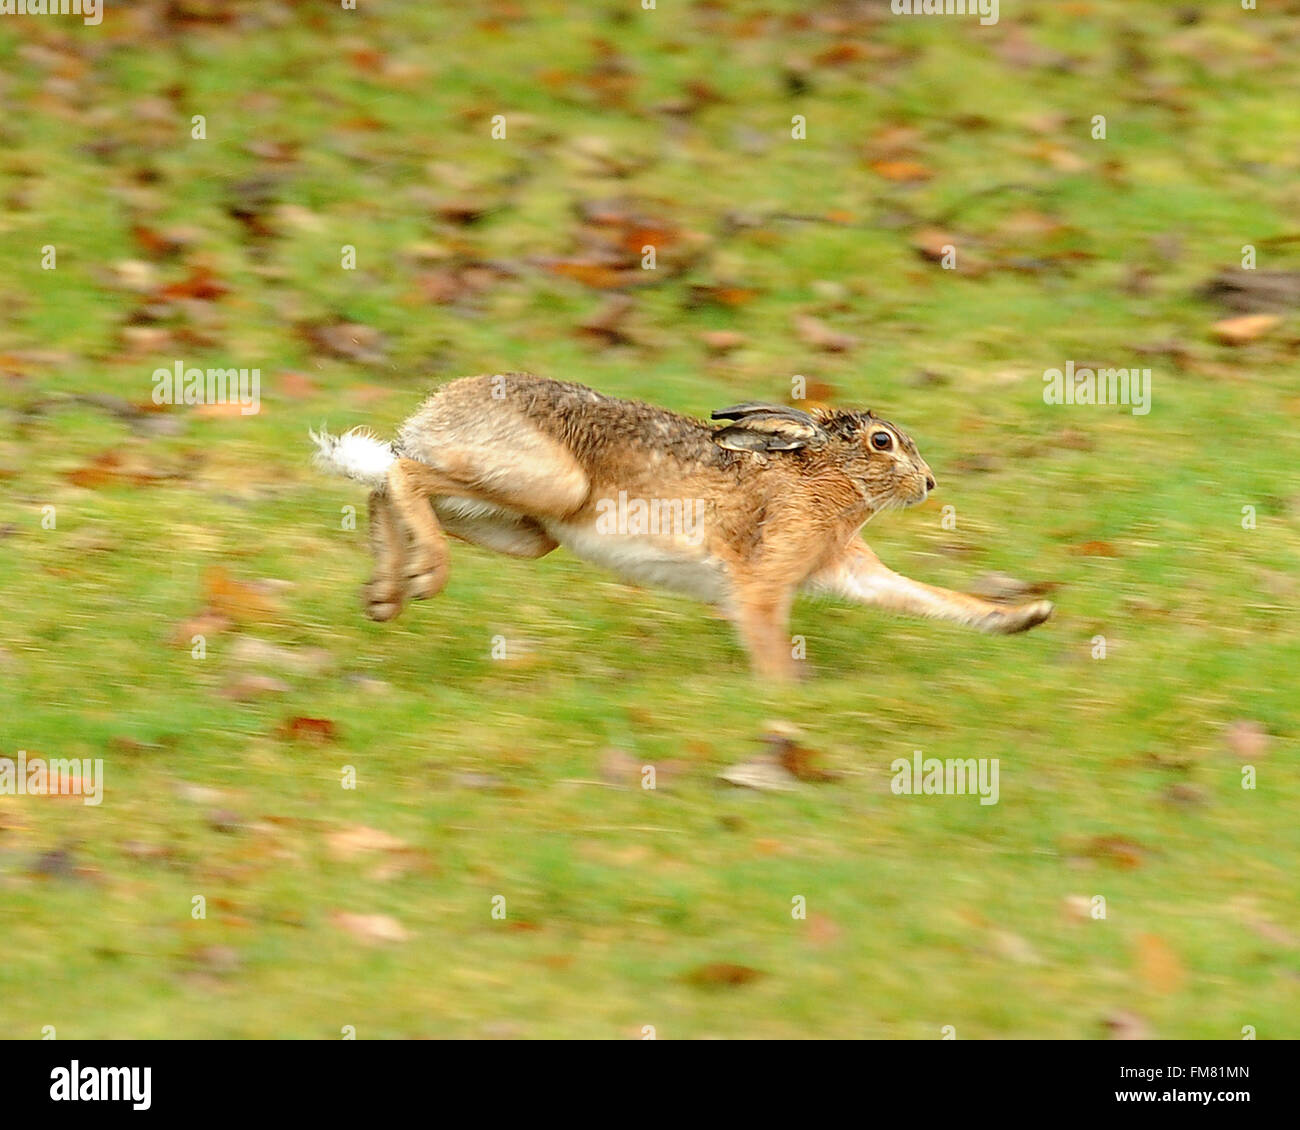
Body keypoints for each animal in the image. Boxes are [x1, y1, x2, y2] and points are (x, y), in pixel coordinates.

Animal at [311, 373, 1052, 680]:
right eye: (881, 442)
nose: (929, 486)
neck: (818, 476)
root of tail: (432, 415)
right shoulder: (764, 581)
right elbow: (766, 634)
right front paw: (785, 699)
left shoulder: (846, 570)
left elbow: (929, 598)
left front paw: (1024, 618)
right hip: (546, 484)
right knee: (404, 475)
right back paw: (424, 577)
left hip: (528, 529)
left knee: (385, 484)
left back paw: (386, 595)